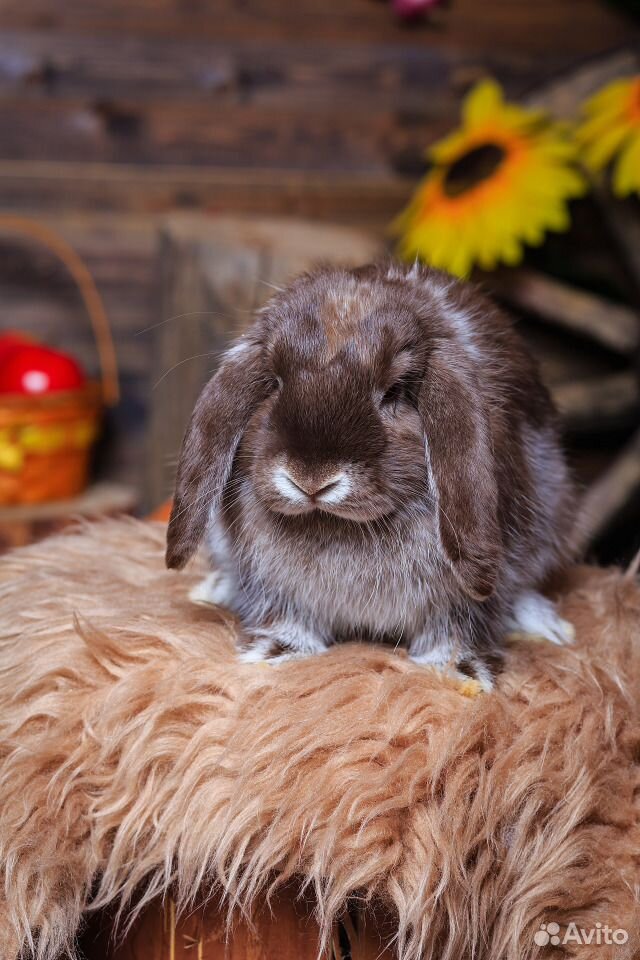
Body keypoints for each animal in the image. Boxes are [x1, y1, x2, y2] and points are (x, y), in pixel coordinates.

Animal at [166, 261, 575, 688]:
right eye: (274, 382)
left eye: (394, 392)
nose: (311, 479)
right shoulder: (273, 586)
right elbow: (283, 616)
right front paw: (276, 651)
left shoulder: (470, 595)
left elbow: (462, 626)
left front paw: (456, 672)